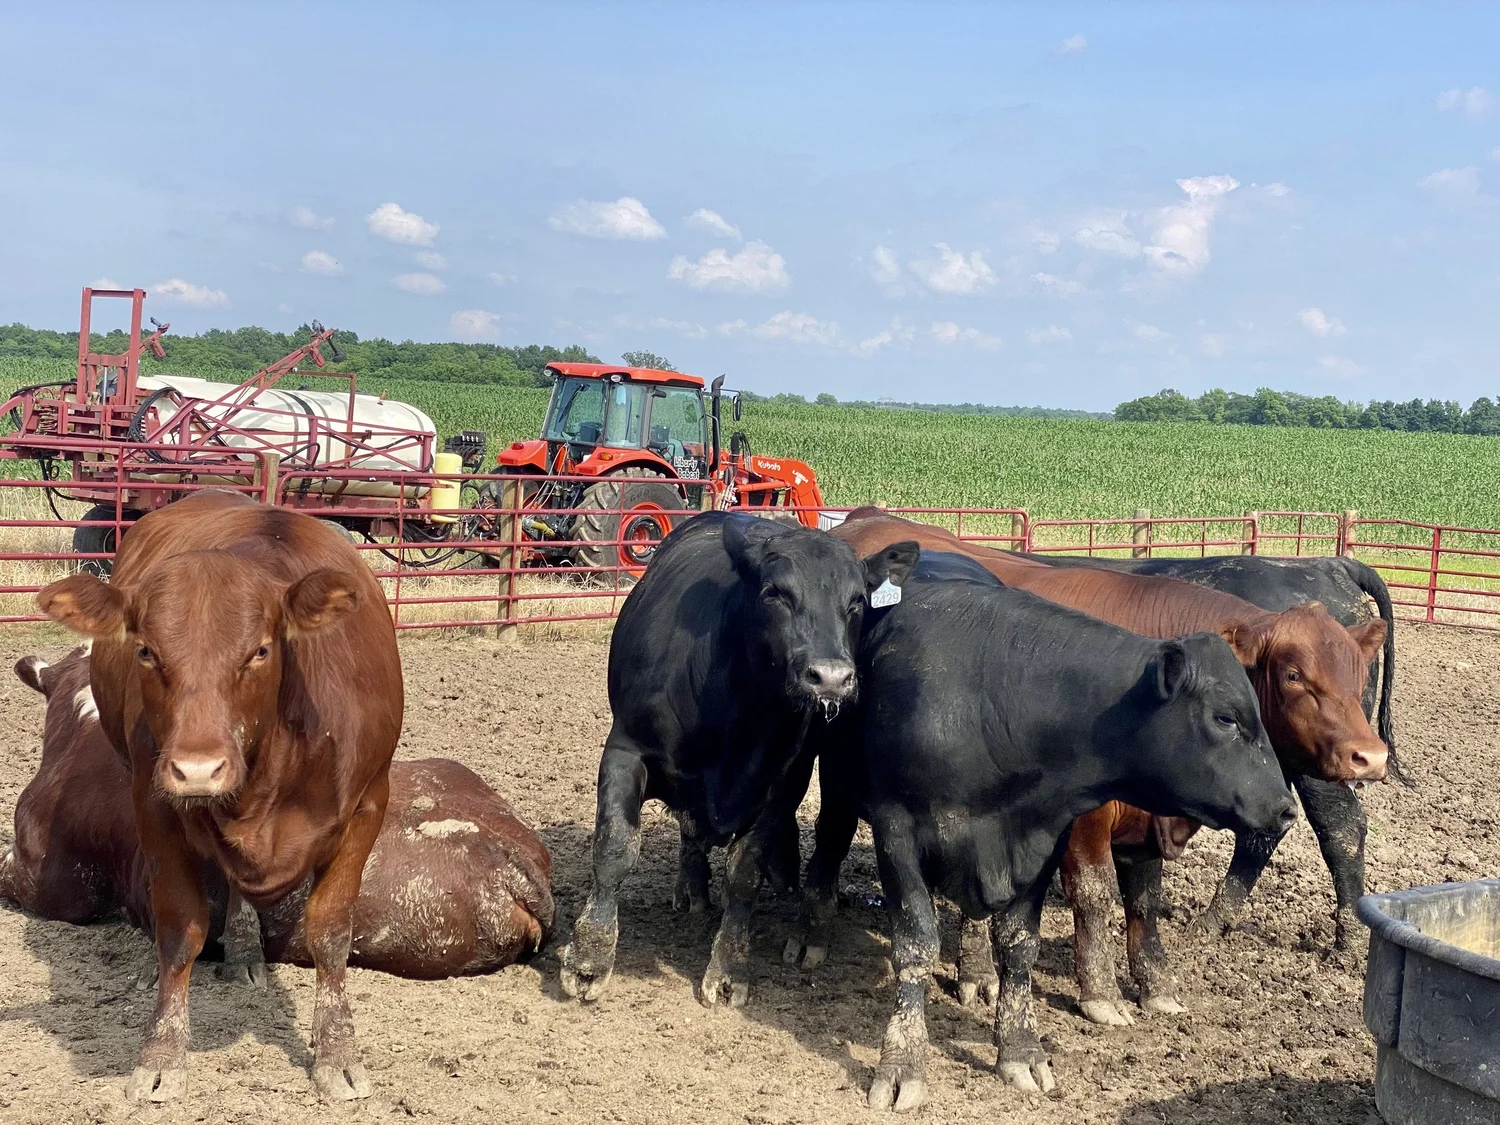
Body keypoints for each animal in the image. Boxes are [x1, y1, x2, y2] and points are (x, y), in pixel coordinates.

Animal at [37, 490, 402, 1102]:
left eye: (259, 651)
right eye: (146, 651)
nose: (198, 769)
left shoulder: (368, 804)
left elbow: (330, 934)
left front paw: (338, 1055)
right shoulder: (155, 806)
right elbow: (179, 932)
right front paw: (161, 1056)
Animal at [557, 511, 919, 1009]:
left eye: (857, 601)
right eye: (774, 593)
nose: (830, 677)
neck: (736, 711)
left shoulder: (783, 784)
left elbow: (744, 873)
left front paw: (728, 969)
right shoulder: (624, 752)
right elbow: (614, 848)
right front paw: (589, 958)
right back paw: (690, 890)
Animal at [808, 508, 1387, 1025]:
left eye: (1357, 673)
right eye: (1294, 674)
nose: (1370, 756)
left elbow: (1144, 900)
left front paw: (1156, 986)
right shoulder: (1084, 819)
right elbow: (1097, 894)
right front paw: (1102, 992)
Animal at [810, 565, 1296, 1108]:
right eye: (1225, 717)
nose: (1286, 808)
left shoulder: (1039, 841)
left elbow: (1020, 946)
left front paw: (1021, 1051)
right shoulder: (898, 834)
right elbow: (914, 947)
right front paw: (902, 1064)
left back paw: (975, 973)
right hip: (837, 790)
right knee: (827, 847)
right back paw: (810, 938)